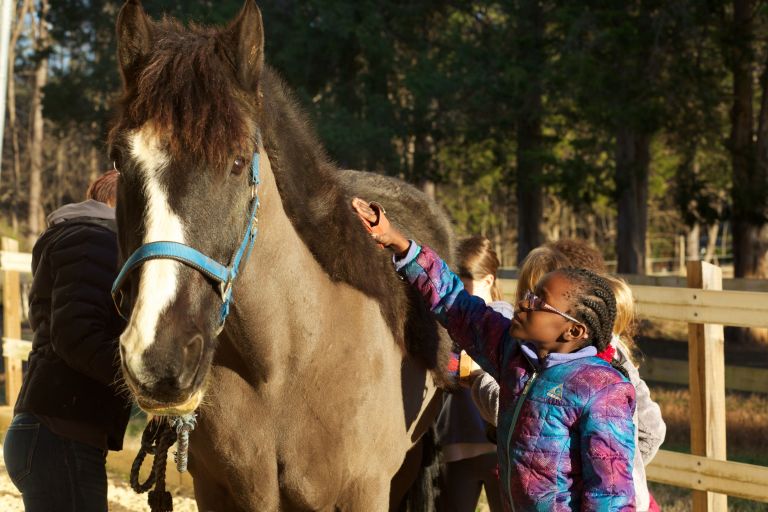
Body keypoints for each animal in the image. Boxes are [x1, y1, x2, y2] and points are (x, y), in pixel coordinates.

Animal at [109, 1, 454, 510]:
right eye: (119, 160)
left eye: (237, 162)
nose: (159, 356)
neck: (283, 369)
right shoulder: (215, 490)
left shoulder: (366, 491)